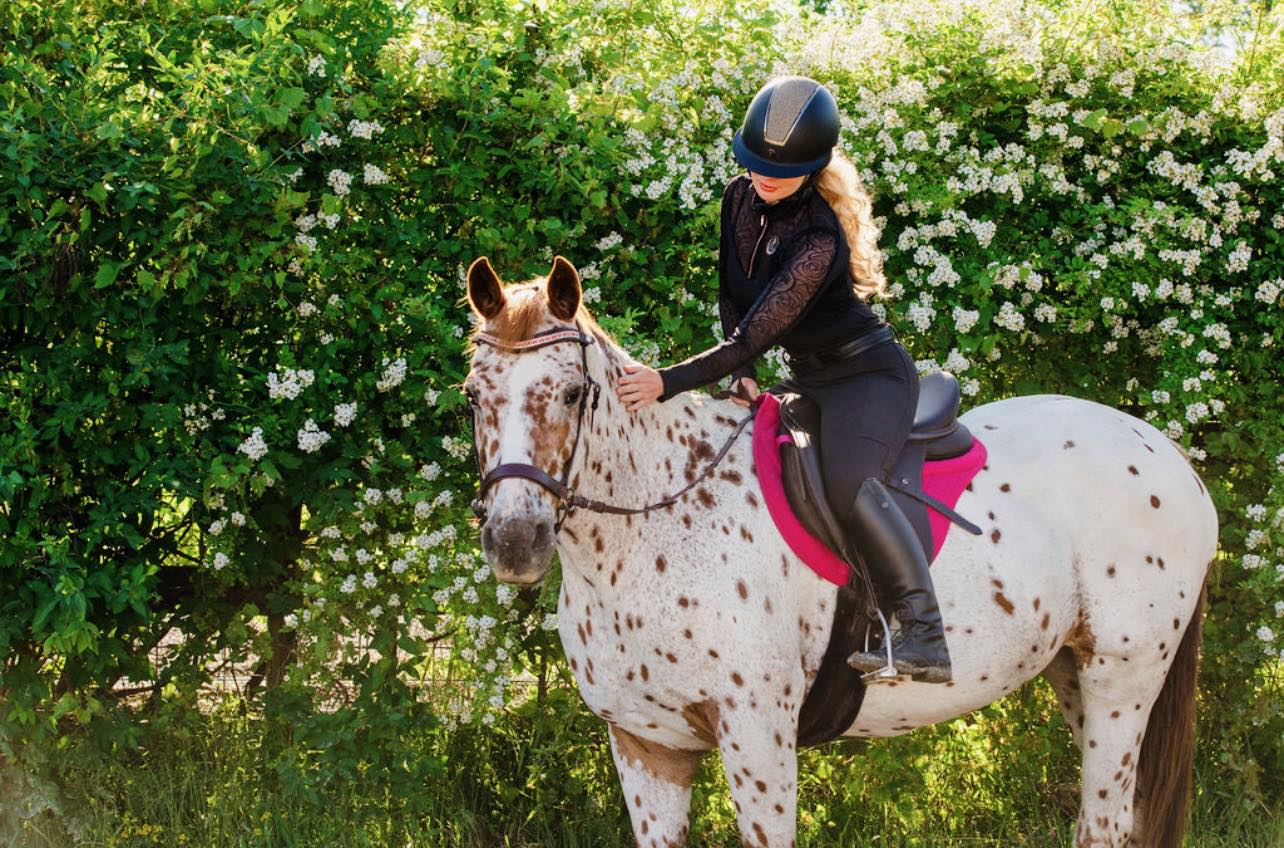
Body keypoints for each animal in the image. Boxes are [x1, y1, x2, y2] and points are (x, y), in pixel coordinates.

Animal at [460, 254, 1219, 848]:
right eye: (473, 397)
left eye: (572, 392)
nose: (514, 541)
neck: (654, 529)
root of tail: (1172, 460)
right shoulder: (648, 746)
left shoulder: (757, 738)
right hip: (1074, 672)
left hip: (1124, 677)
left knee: (1104, 824)